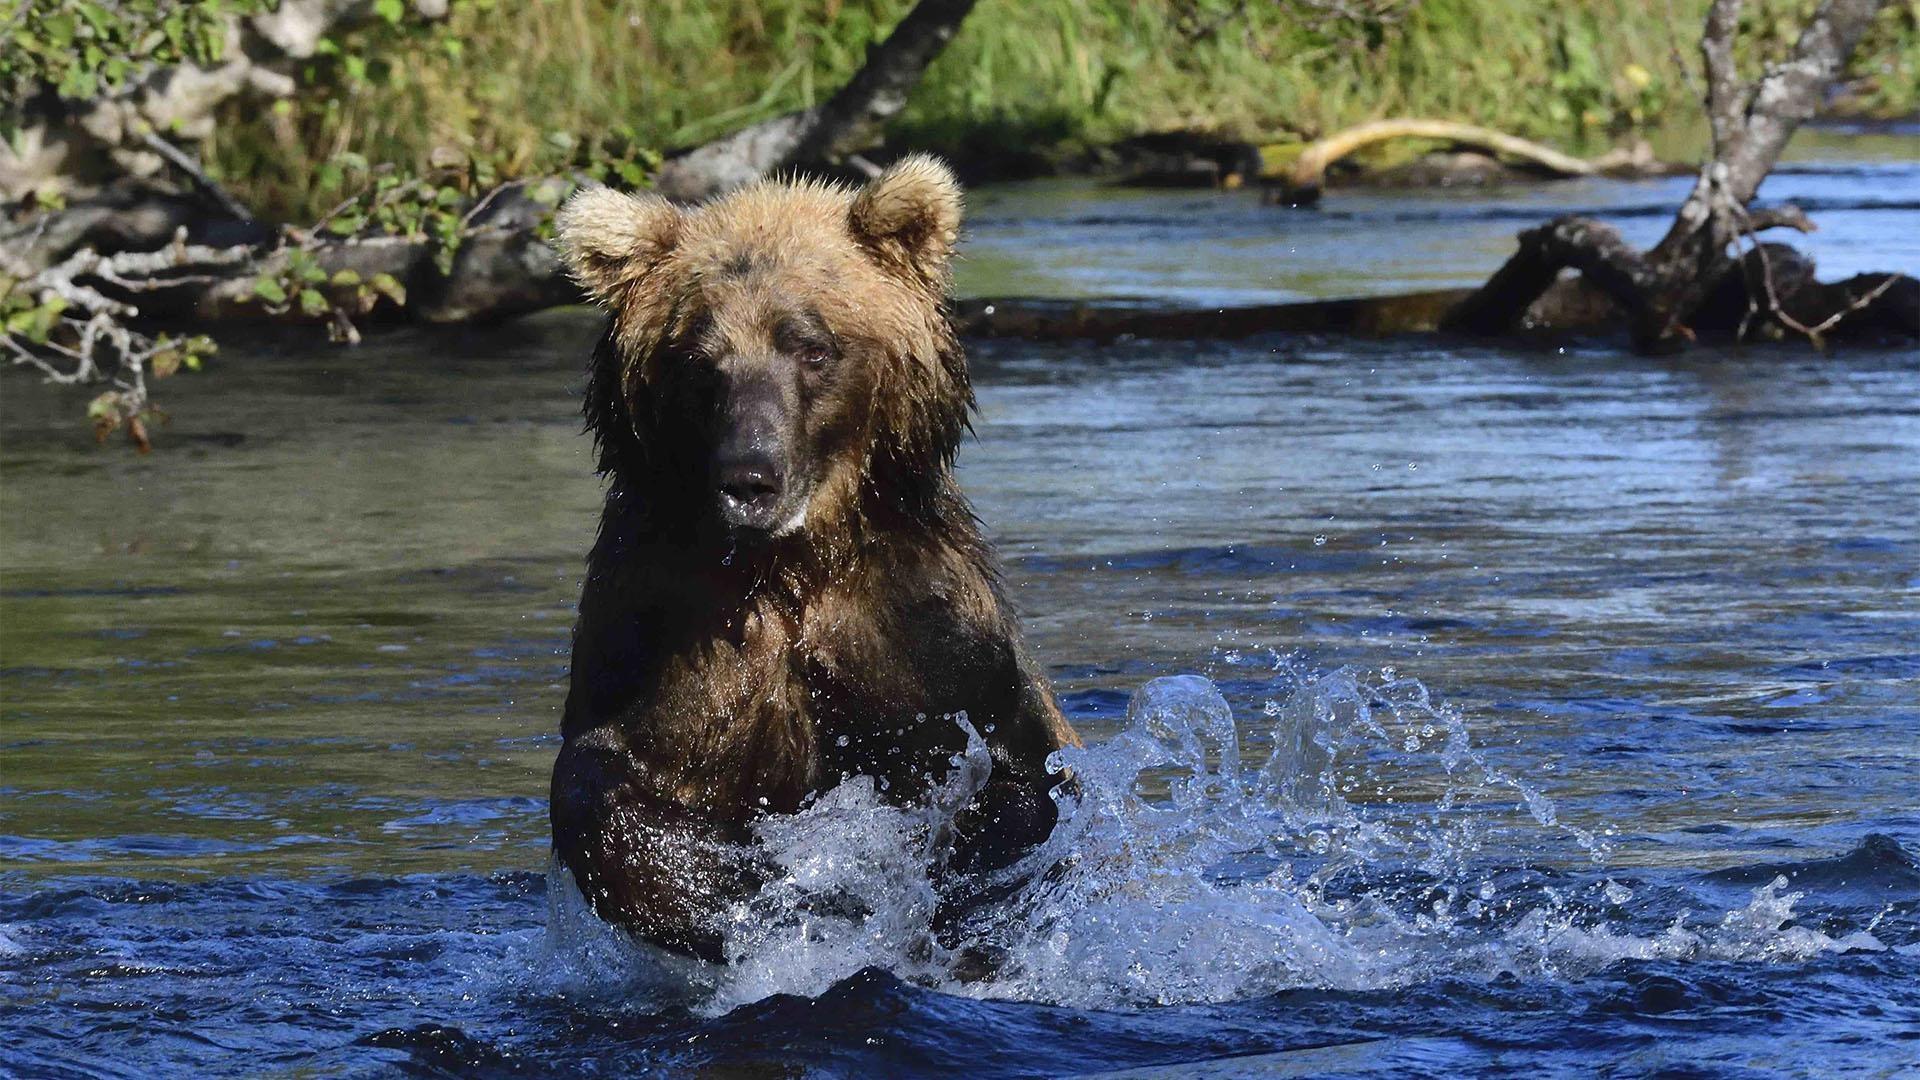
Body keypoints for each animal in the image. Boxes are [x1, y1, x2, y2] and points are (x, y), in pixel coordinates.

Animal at [547, 155, 1081, 961]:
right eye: (700, 363)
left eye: (812, 347)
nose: (748, 478)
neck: (791, 564)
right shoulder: (667, 629)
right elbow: (606, 773)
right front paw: (732, 891)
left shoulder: (915, 630)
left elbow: (1017, 774)